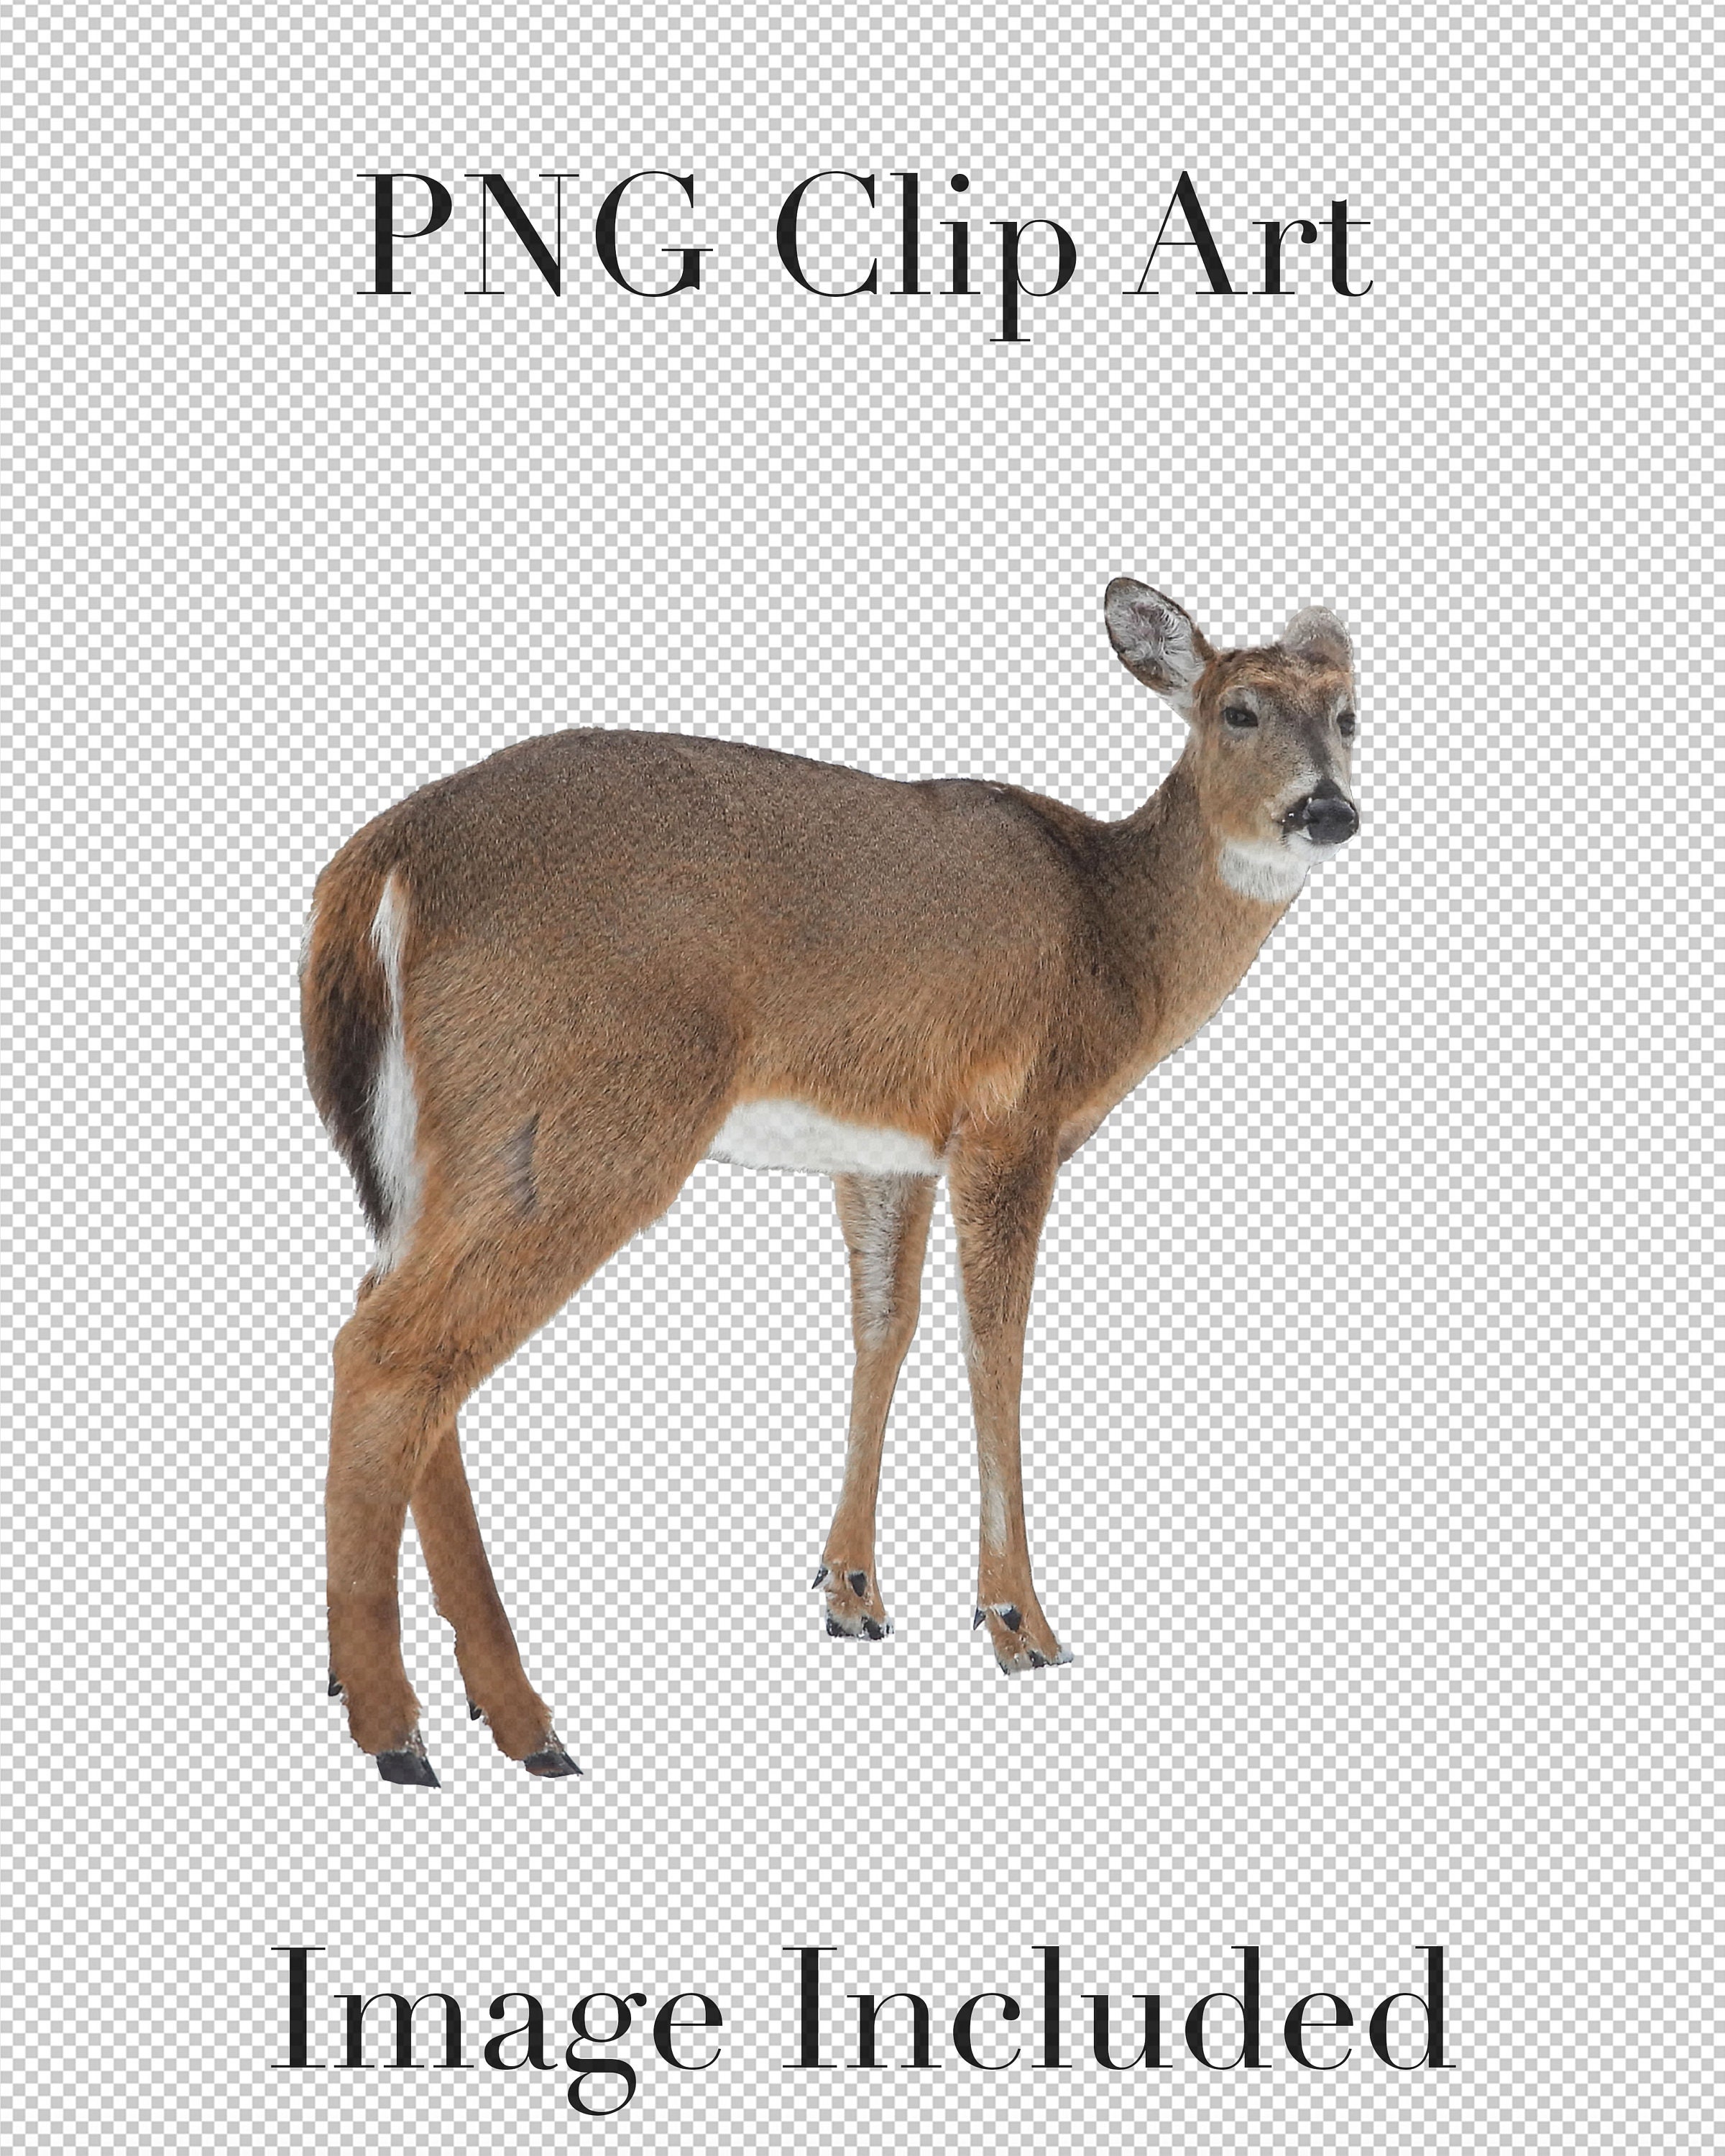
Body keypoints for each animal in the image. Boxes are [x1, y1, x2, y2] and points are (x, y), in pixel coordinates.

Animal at [300, 580, 1360, 1784]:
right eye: (1239, 709)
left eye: (1350, 714)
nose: (1327, 810)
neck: (1117, 928)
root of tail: (378, 861)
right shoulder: (1012, 1118)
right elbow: (994, 1343)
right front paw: (1019, 1623)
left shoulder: (884, 1148)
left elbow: (885, 1324)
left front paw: (851, 1592)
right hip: (583, 1113)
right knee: (391, 1350)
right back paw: (417, 1727)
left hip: (451, 1142)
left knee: (397, 1330)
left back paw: (493, 1713)